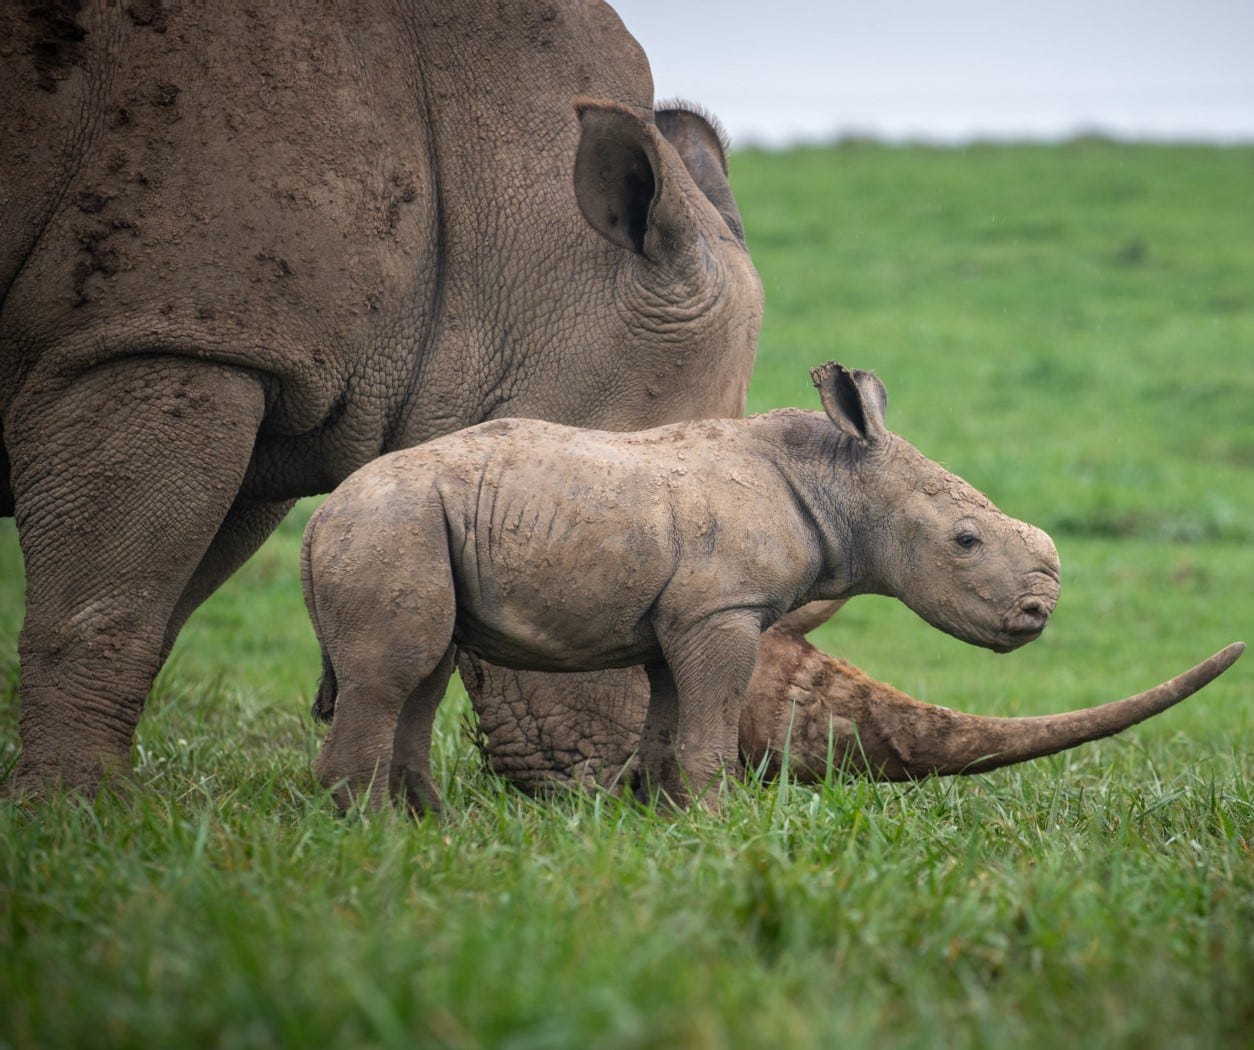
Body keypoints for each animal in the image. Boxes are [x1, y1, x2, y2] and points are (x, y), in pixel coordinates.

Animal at [0, 1, 764, 794]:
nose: (621, 787)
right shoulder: (163, 338)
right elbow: (103, 608)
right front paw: (72, 807)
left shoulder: (267, 371)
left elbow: (165, 607)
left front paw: (92, 805)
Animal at [303, 363, 1071, 811]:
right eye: (966, 541)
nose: (1038, 613)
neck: (841, 480)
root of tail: (318, 519)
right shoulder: (722, 609)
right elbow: (713, 724)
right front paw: (722, 824)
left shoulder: (683, 616)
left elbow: (670, 722)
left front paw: (668, 821)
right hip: (388, 525)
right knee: (393, 676)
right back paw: (378, 834)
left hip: (409, 526)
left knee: (422, 673)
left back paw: (432, 825)